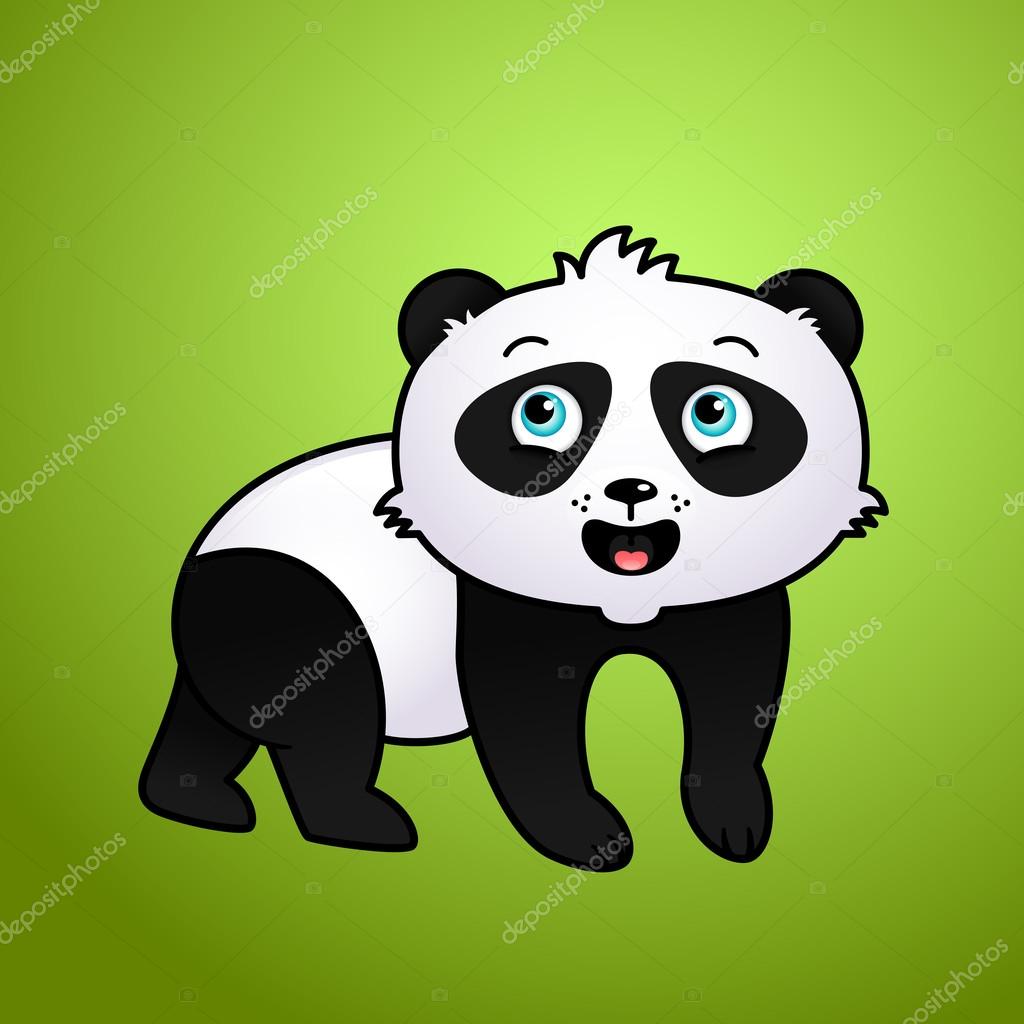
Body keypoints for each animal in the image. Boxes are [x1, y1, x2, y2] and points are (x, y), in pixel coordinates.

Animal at [139, 227, 885, 870]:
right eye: (543, 411)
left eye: (713, 410)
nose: (631, 489)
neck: (625, 598)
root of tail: (200, 560)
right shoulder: (508, 605)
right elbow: (528, 719)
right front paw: (591, 838)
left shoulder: (725, 600)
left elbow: (732, 695)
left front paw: (733, 819)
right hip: (294, 597)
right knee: (328, 716)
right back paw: (361, 821)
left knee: (214, 721)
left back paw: (196, 799)